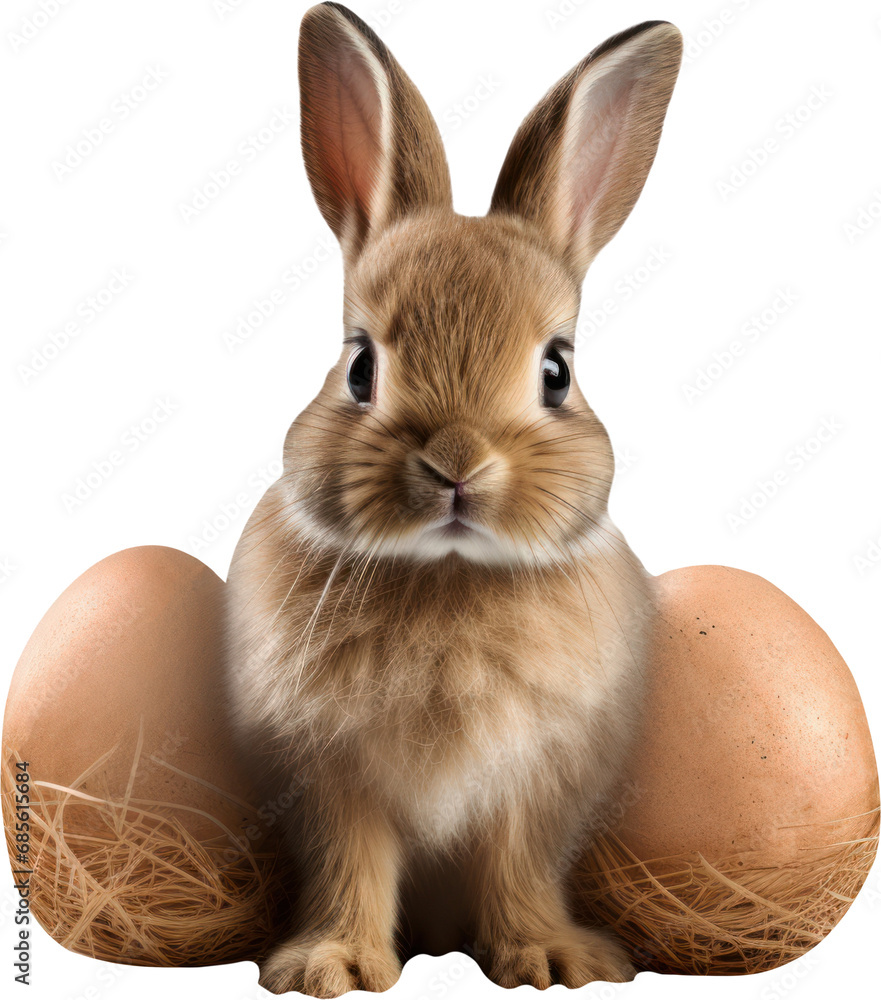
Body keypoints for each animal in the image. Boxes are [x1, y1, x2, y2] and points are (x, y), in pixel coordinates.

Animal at [224, 3, 682, 995]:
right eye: (360, 367)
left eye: (556, 372)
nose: (456, 463)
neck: (449, 571)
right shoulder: (328, 777)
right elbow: (350, 860)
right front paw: (333, 966)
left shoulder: (541, 781)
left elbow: (519, 864)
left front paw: (552, 960)